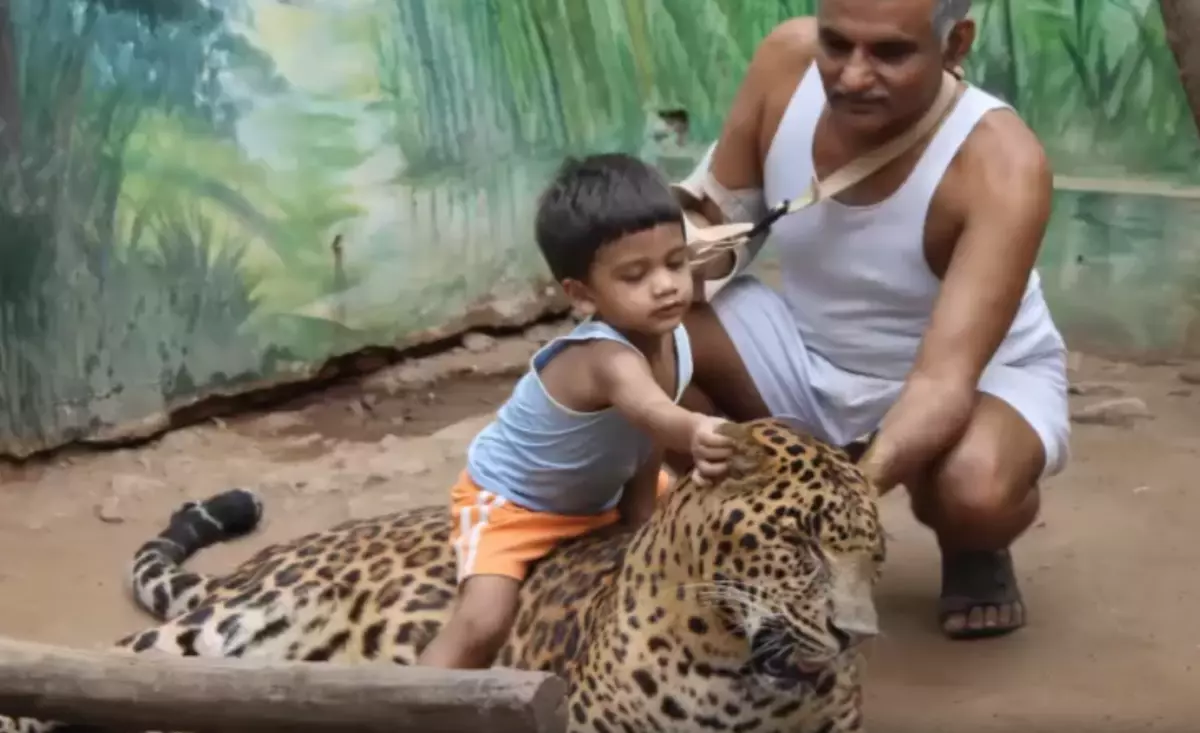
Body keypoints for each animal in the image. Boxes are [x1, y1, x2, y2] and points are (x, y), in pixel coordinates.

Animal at [0, 419, 883, 733]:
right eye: (802, 542)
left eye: (873, 555)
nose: (855, 636)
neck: (738, 679)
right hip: (232, 627)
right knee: (105, 664)